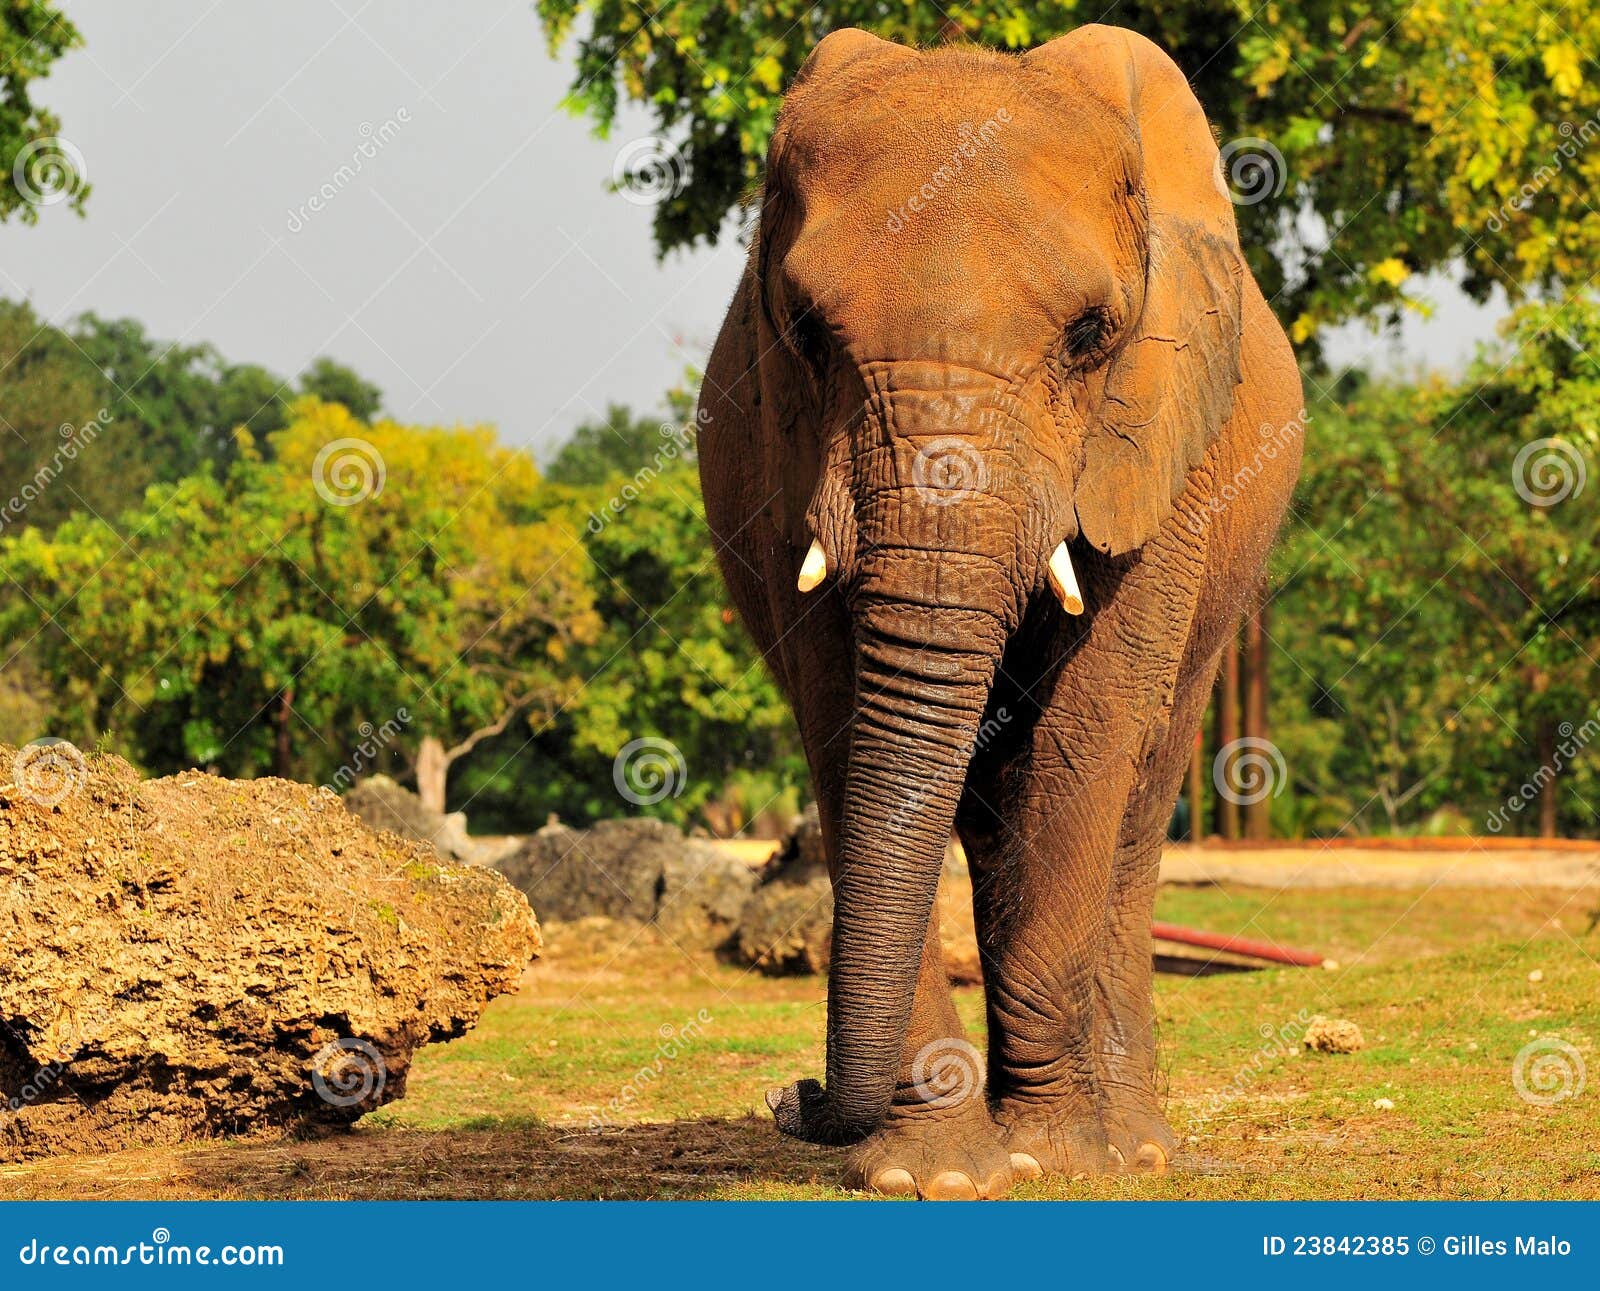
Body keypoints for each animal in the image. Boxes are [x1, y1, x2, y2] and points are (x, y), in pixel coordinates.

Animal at [696, 24, 1304, 1198]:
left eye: (1090, 334)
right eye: (806, 332)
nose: (795, 1097)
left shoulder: (1157, 449)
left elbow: (1087, 732)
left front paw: (1051, 1155)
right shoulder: (775, 463)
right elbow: (844, 727)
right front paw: (927, 1175)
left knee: (1136, 799)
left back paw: (1138, 1146)